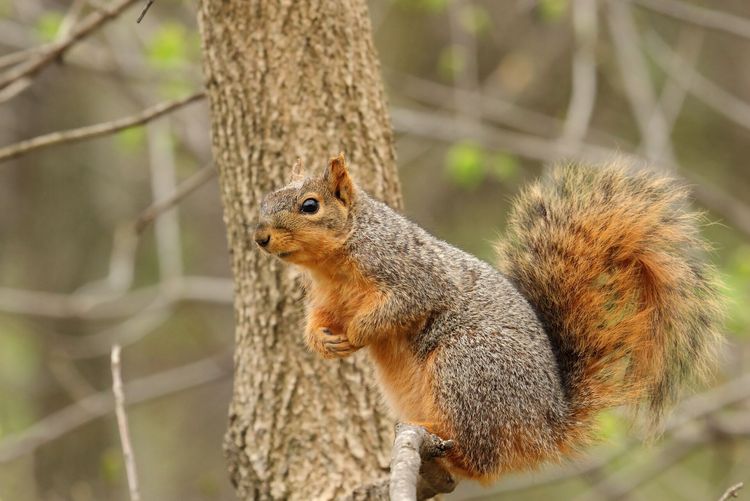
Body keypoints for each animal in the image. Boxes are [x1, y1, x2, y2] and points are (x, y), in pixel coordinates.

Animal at [253, 153, 724, 482]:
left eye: (310, 206)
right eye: (263, 200)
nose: (260, 238)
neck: (334, 261)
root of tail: (547, 422)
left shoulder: (412, 276)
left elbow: (404, 306)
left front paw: (356, 332)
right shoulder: (327, 297)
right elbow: (318, 317)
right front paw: (320, 340)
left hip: (465, 364)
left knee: (483, 459)